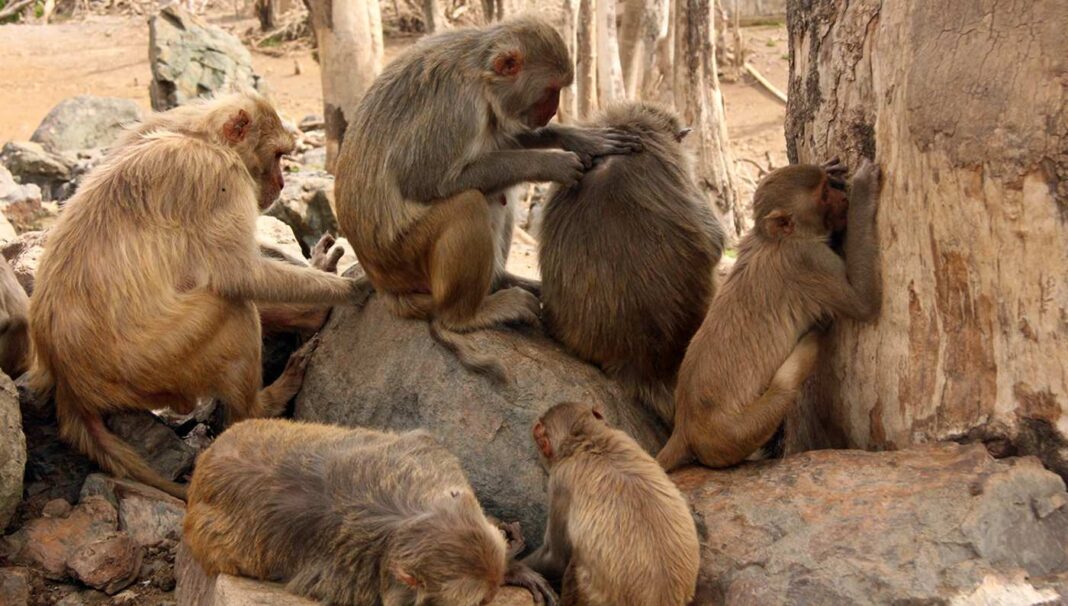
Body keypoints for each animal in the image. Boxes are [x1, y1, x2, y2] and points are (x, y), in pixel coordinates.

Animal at [28, 91, 363, 500]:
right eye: (278, 156)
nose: (283, 183)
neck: (202, 136)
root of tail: (68, 383)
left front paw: (320, 272)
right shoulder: (219, 177)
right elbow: (238, 275)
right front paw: (348, 291)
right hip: (159, 363)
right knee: (230, 305)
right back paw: (263, 404)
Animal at [334, 16, 643, 383]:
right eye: (551, 90)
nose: (552, 111)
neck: (480, 73)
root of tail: (386, 287)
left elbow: (505, 137)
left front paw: (579, 138)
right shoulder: (456, 107)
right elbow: (423, 180)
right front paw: (553, 163)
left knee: (498, 193)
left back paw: (502, 282)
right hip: (404, 259)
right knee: (468, 204)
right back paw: (467, 315)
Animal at [657, 158, 882, 471]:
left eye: (827, 185)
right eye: (825, 196)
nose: (843, 198)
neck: (775, 241)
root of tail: (684, 428)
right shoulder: (808, 259)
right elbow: (864, 302)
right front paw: (863, 191)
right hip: (732, 434)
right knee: (784, 389)